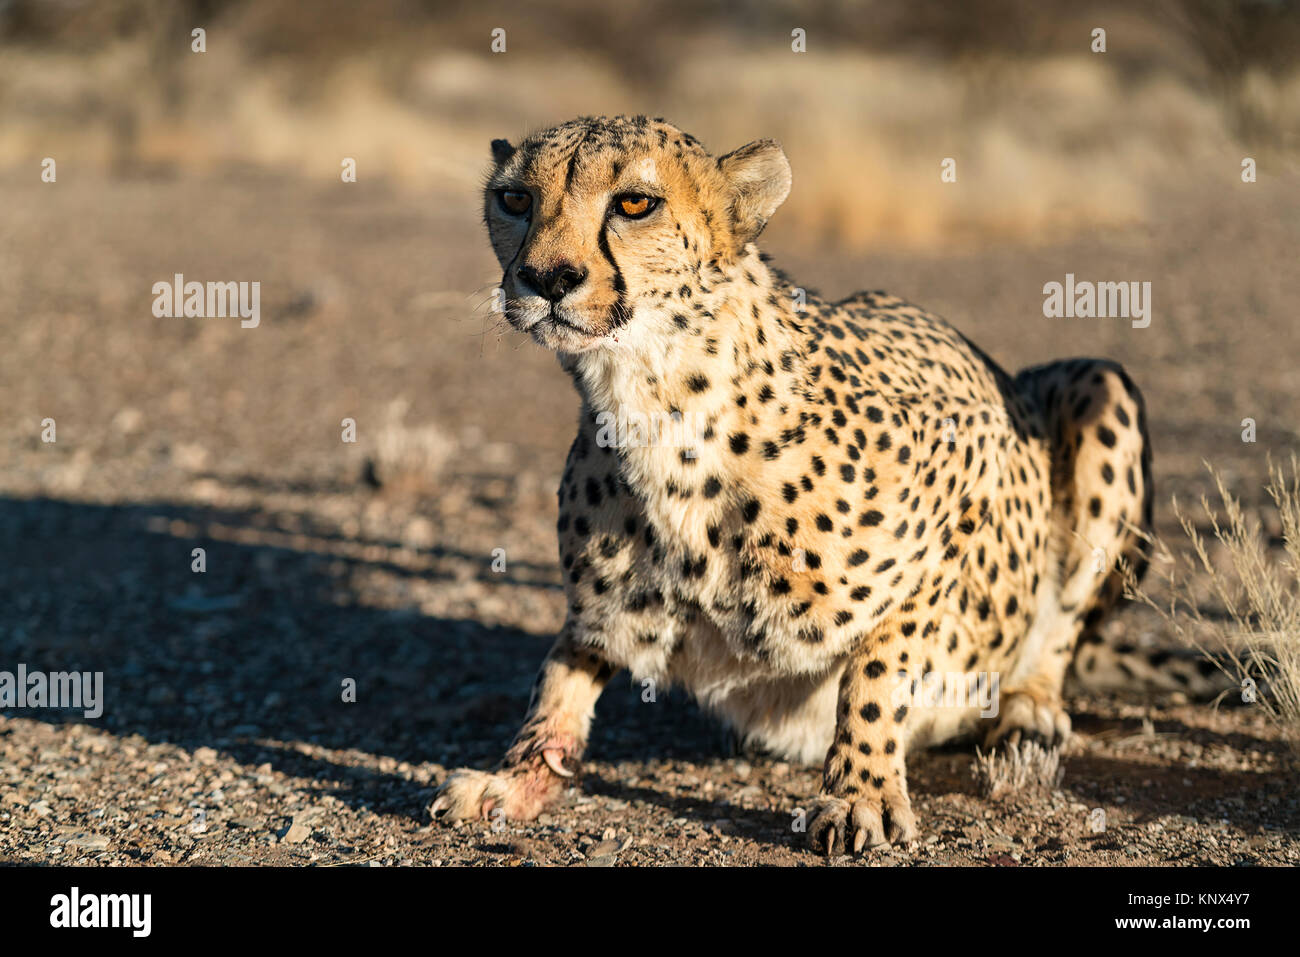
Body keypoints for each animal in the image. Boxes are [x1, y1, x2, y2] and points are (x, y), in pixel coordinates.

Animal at [431, 115, 1221, 855]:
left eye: (634, 203)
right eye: (515, 199)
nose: (546, 279)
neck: (650, 397)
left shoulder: (972, 478)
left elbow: (879, 661)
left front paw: (858, 792)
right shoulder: (605, 610)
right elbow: (558, 676)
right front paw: (514, 778)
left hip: (1101, 385)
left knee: (1060, 627)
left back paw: (1028, 708)